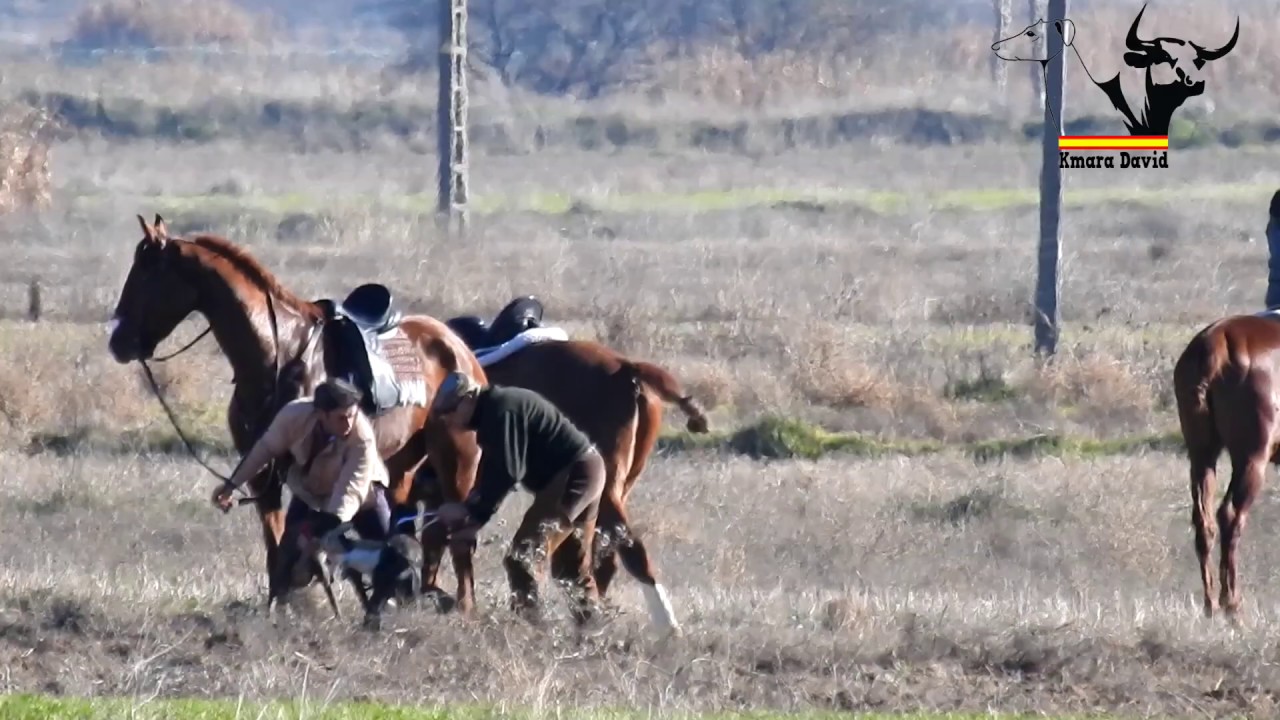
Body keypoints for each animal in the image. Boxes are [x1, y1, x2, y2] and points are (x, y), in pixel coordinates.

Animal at [105, 215, 488, 616]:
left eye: (149, 273)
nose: (117, 341)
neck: (280, 356)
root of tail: (461, 350)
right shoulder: (263, 472)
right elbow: (276, 545)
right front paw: (278, 606)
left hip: (458, 458)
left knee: (457, 534)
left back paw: (463, 606)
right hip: (401, 467)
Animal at [437, 298, 710, 634]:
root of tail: (627, 370)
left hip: (604, 488)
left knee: (628, 549)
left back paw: (663, 627)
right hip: (617, 487)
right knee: (604, 557)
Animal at [1172, 310, 1280, 621]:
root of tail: (1214, 343)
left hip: (1201, 454)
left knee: (1203, 520)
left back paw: (1211, 605)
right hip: (1251, 458)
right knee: (1230, 515)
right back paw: (1232, 605)